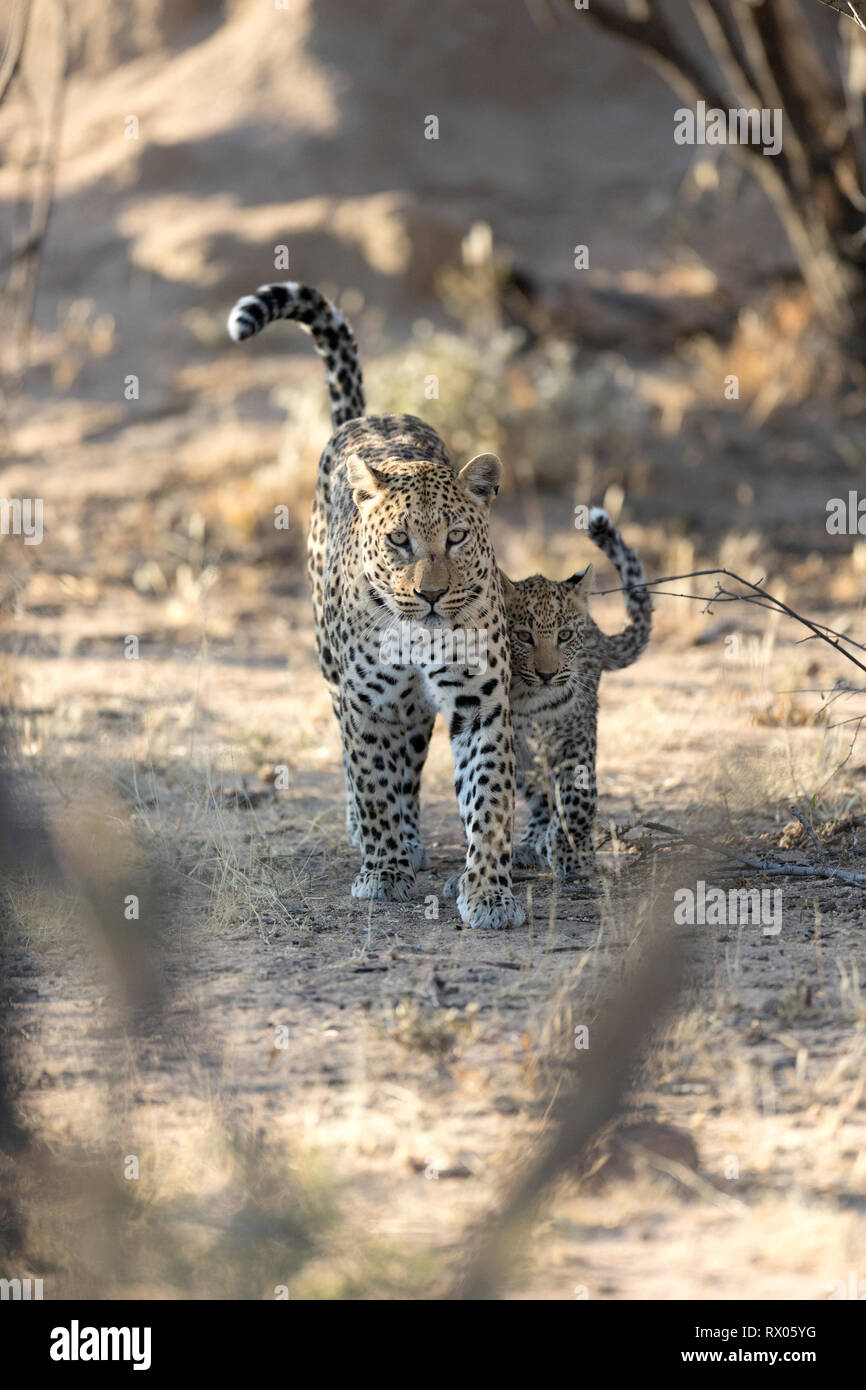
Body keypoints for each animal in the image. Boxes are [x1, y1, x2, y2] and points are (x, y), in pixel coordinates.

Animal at [228, 281, 525, 929]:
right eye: (399, 541)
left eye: (456, 538)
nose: (431, 593)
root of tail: (370, 416)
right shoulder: (365, 702)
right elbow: (370, 780)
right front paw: (383, 870)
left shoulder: (480, 702)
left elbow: (489, 797)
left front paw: (489, 892)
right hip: (334, 669)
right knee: (361, 766)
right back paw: (377, 840)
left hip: (412, 709)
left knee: (409, 766)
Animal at [503, 507, 652, 879]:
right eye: (523, 636)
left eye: (565, 635)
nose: (546, 674)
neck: (529, 699)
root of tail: (596, 627)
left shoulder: (576, 737)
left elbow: (578, 799)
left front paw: (574, 857)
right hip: (526, 755)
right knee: (540, 798)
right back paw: (531, 843)